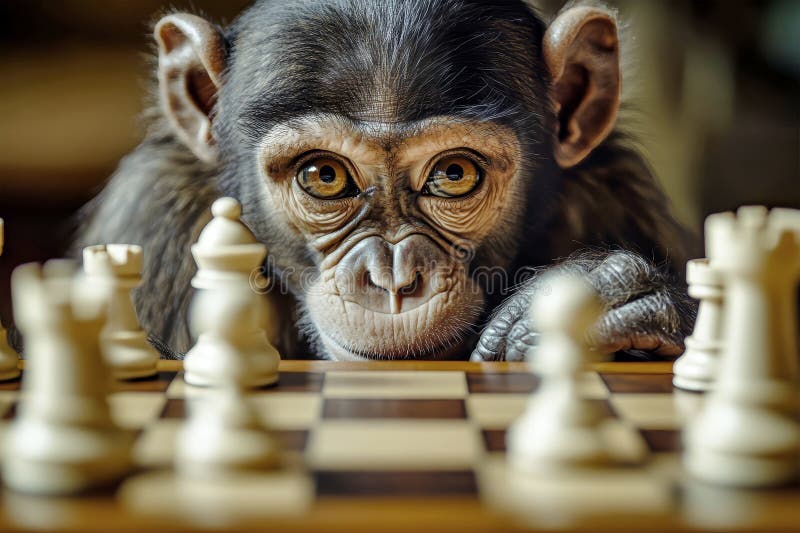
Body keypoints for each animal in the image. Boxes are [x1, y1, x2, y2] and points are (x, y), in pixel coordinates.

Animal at [74, 0, 697, 362]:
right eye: (324, 175)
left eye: (454, 173)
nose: (393, 277)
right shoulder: (154, 217)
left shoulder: (616, 194)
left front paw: (609, 298)